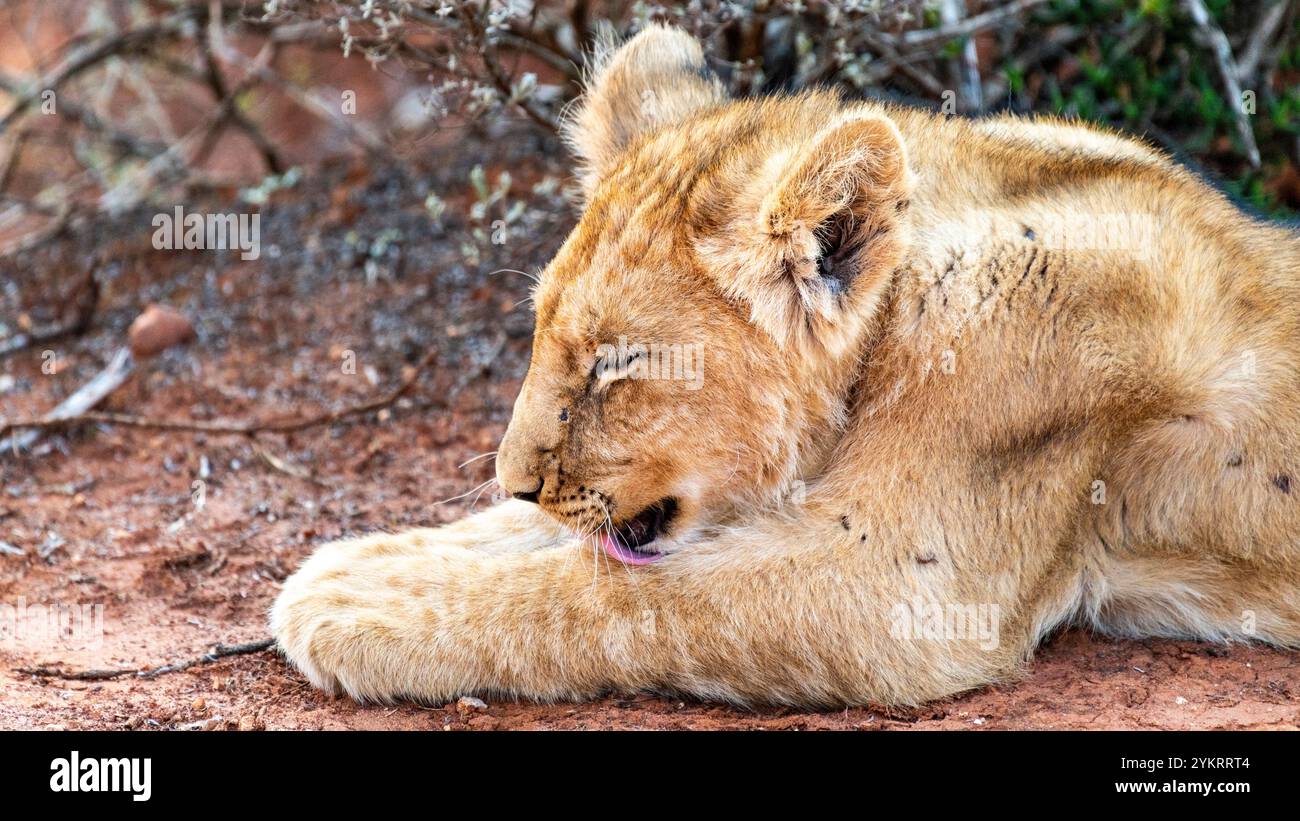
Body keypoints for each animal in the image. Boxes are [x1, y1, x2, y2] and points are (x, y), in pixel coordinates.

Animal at [271, 25, 1300, 707]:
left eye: (619, 364)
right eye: (542, 338)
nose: (515, 478)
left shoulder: (897, 586)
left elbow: (612, 593)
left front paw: (356, 605)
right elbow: (544, 547)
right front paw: (368, 557)